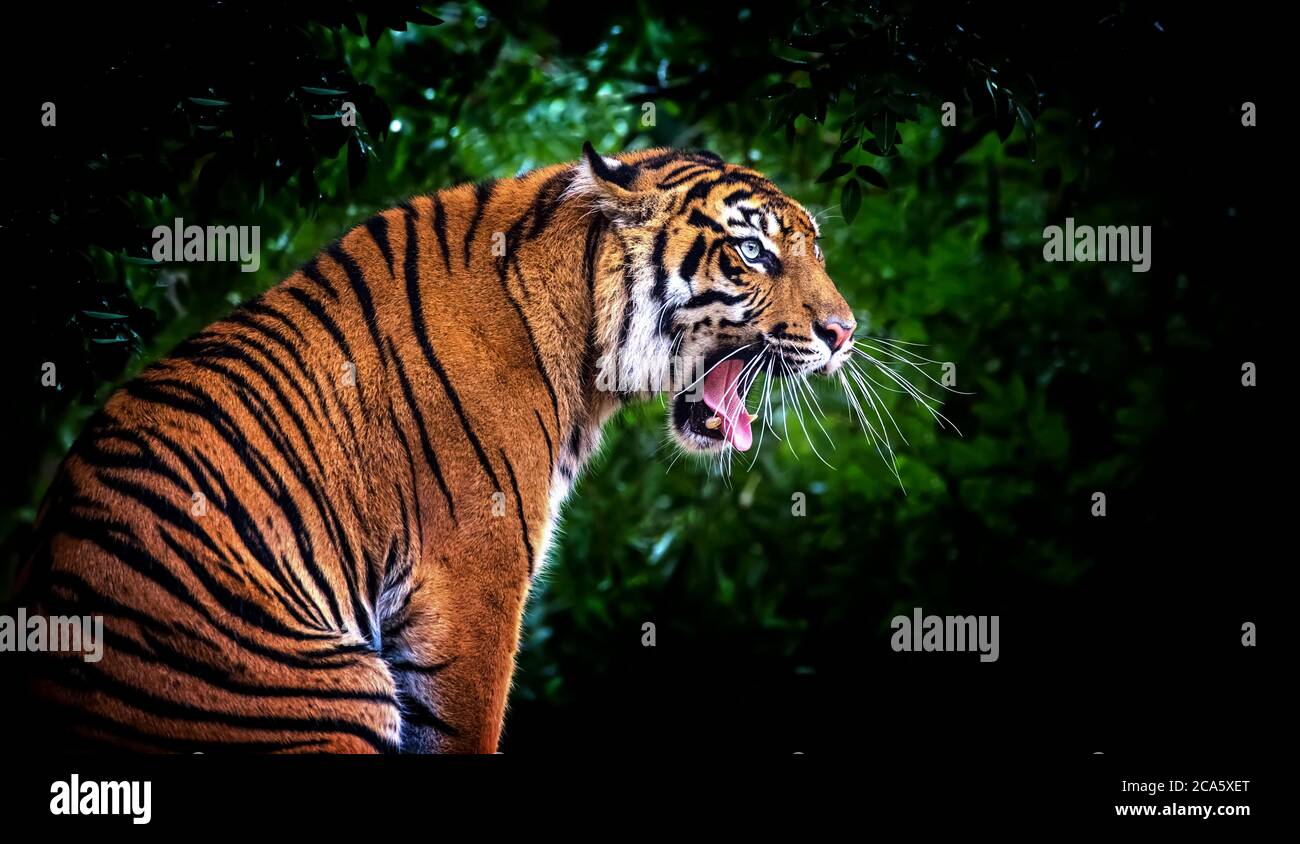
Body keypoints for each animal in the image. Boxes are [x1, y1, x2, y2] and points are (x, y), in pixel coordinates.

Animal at [13, 143, 857, 753]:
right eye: (752, 253)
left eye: (815, 250)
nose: (845, 333)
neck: (582, 337)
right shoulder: (472, 575)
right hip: (327, 693)